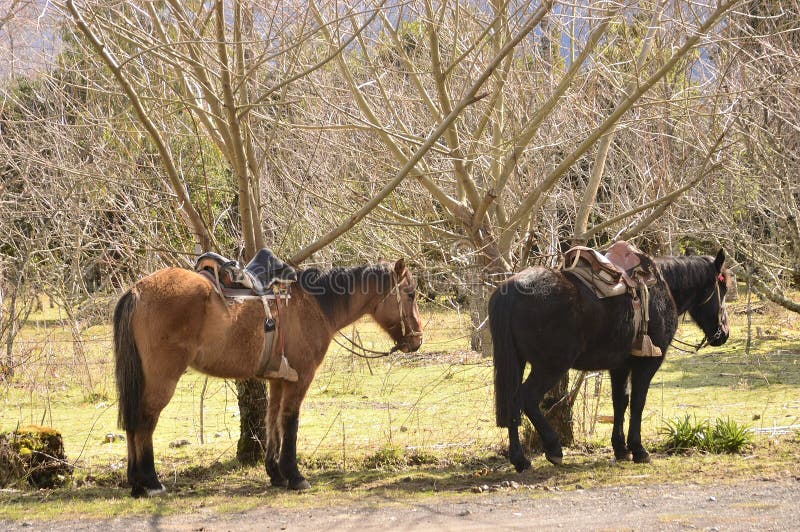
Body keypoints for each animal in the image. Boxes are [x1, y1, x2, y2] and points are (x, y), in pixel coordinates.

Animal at [112, 258, 423, 497]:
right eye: (410, 294)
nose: (417, 340)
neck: (313, 305)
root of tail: (137, 290)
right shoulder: (300, 378)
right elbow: (290, 422)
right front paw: (295, 476)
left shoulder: (277, 380)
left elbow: (272, 421)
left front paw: (275, 474)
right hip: (161, 379)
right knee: (145, 422)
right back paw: (151, 482)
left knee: (132, 423)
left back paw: (136, 484)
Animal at [489, 249, 729, 471]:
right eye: (723, 288)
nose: (723, 334)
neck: (662, 287)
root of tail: (511, 289)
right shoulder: (647, 364)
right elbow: (638, 402)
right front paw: (638, 450)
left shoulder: (619, 366)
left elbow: (620, 402)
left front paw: (620, 449)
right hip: (550, 367)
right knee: (526, 399)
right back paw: (552, 449)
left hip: (519, 363)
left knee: (512, 403)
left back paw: (520, 460)